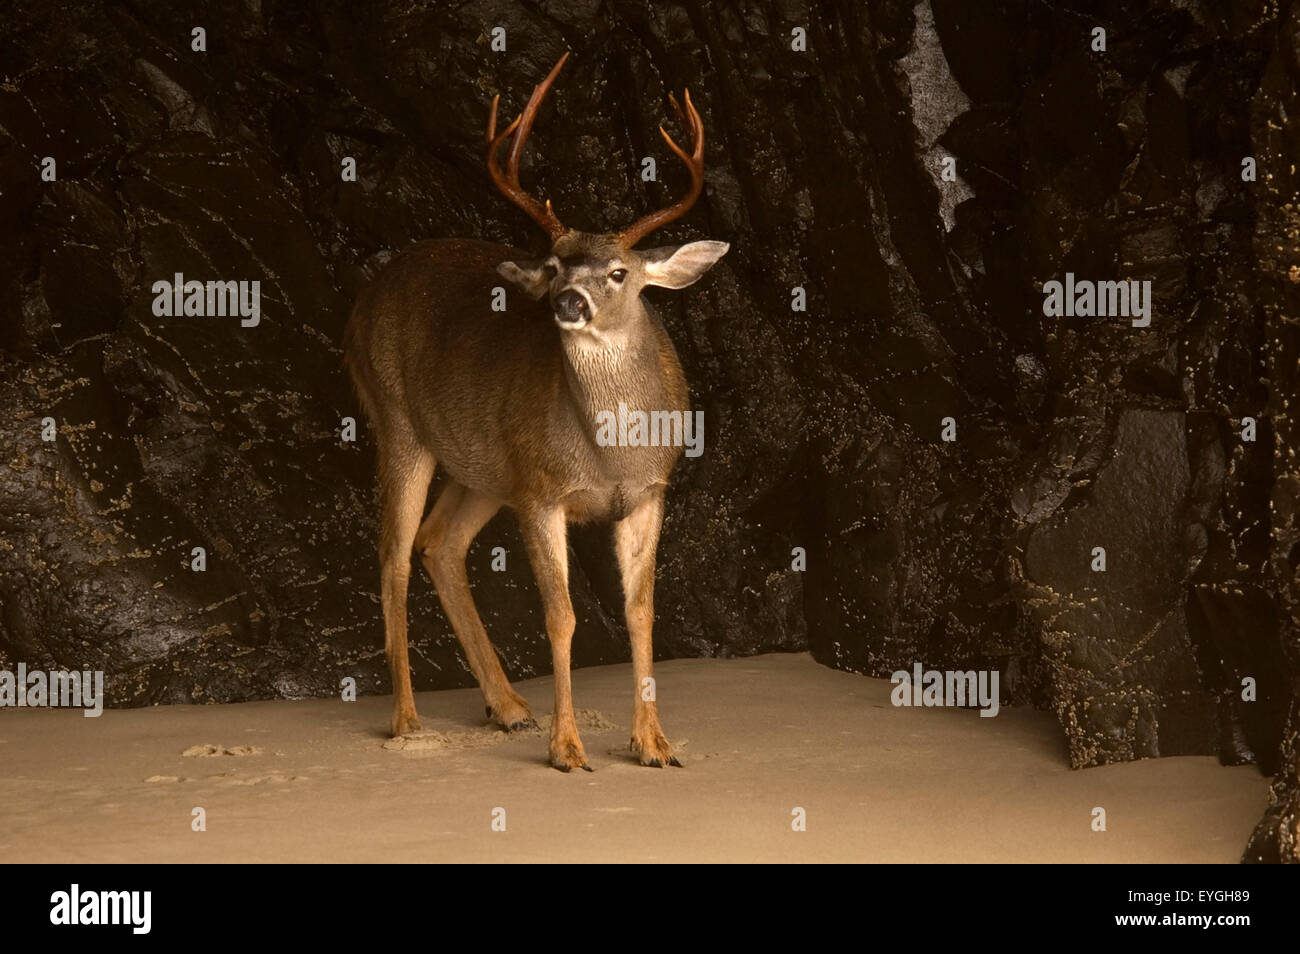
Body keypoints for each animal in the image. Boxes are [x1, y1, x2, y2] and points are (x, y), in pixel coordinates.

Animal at [342, 53, 728, 772]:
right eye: (552, 266)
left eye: (619, 272)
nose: (567, 301)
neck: (610, 450)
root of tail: (364, 300)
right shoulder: (543, 491)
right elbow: (562, 616)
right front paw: (568, 747)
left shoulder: (648, 492)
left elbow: (641, 611)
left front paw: (653, 744)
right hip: (396, 420)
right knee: (393, 553)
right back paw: (408, 720)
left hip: (483, 469)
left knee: (440, 542)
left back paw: (509, 706)